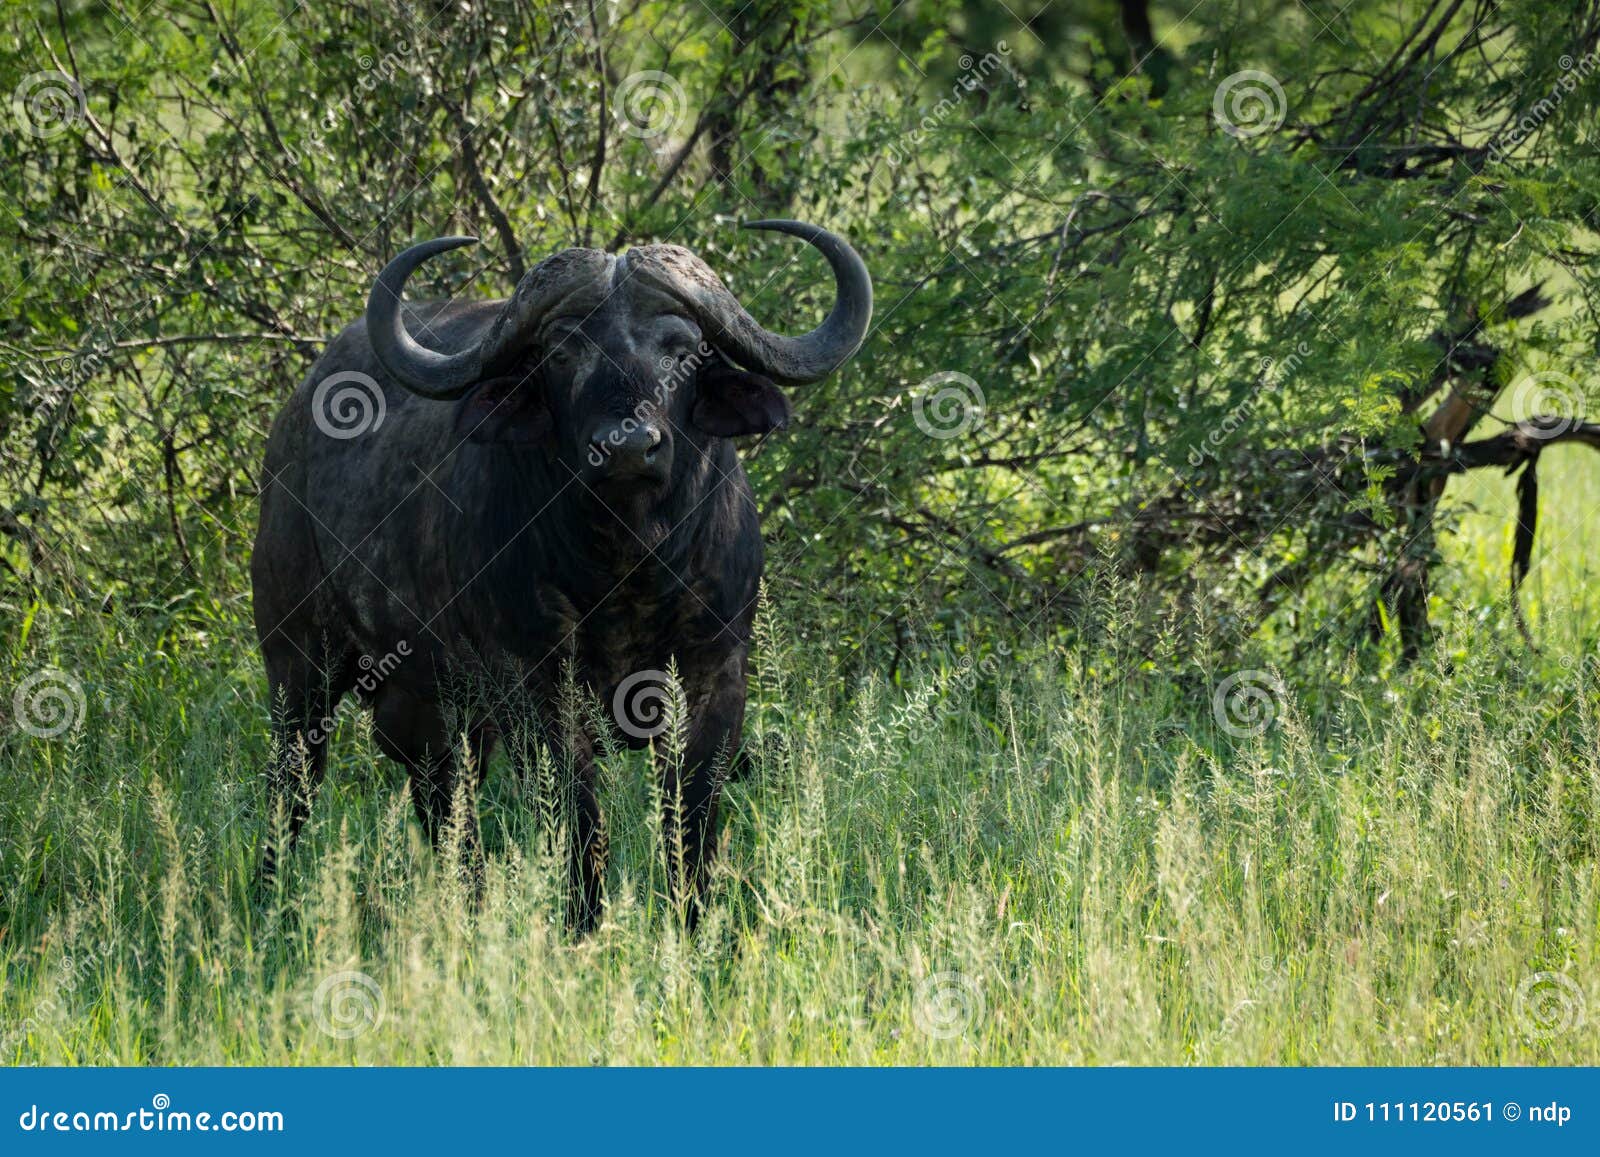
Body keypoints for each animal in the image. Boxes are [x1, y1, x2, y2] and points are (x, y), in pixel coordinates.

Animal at [250, 220, 871, 929]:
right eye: (563, 353)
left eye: (682, 350)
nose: (628, 445)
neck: (630, 564)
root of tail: (293, 427)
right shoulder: (533, 681)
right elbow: (578, 818)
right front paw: (582, 925)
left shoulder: (717, 669)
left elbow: (691, 813)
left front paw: (692, 924)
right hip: (301, 662)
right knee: (294, 783)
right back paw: (268, 904)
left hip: (434, 704)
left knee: (443, 797)